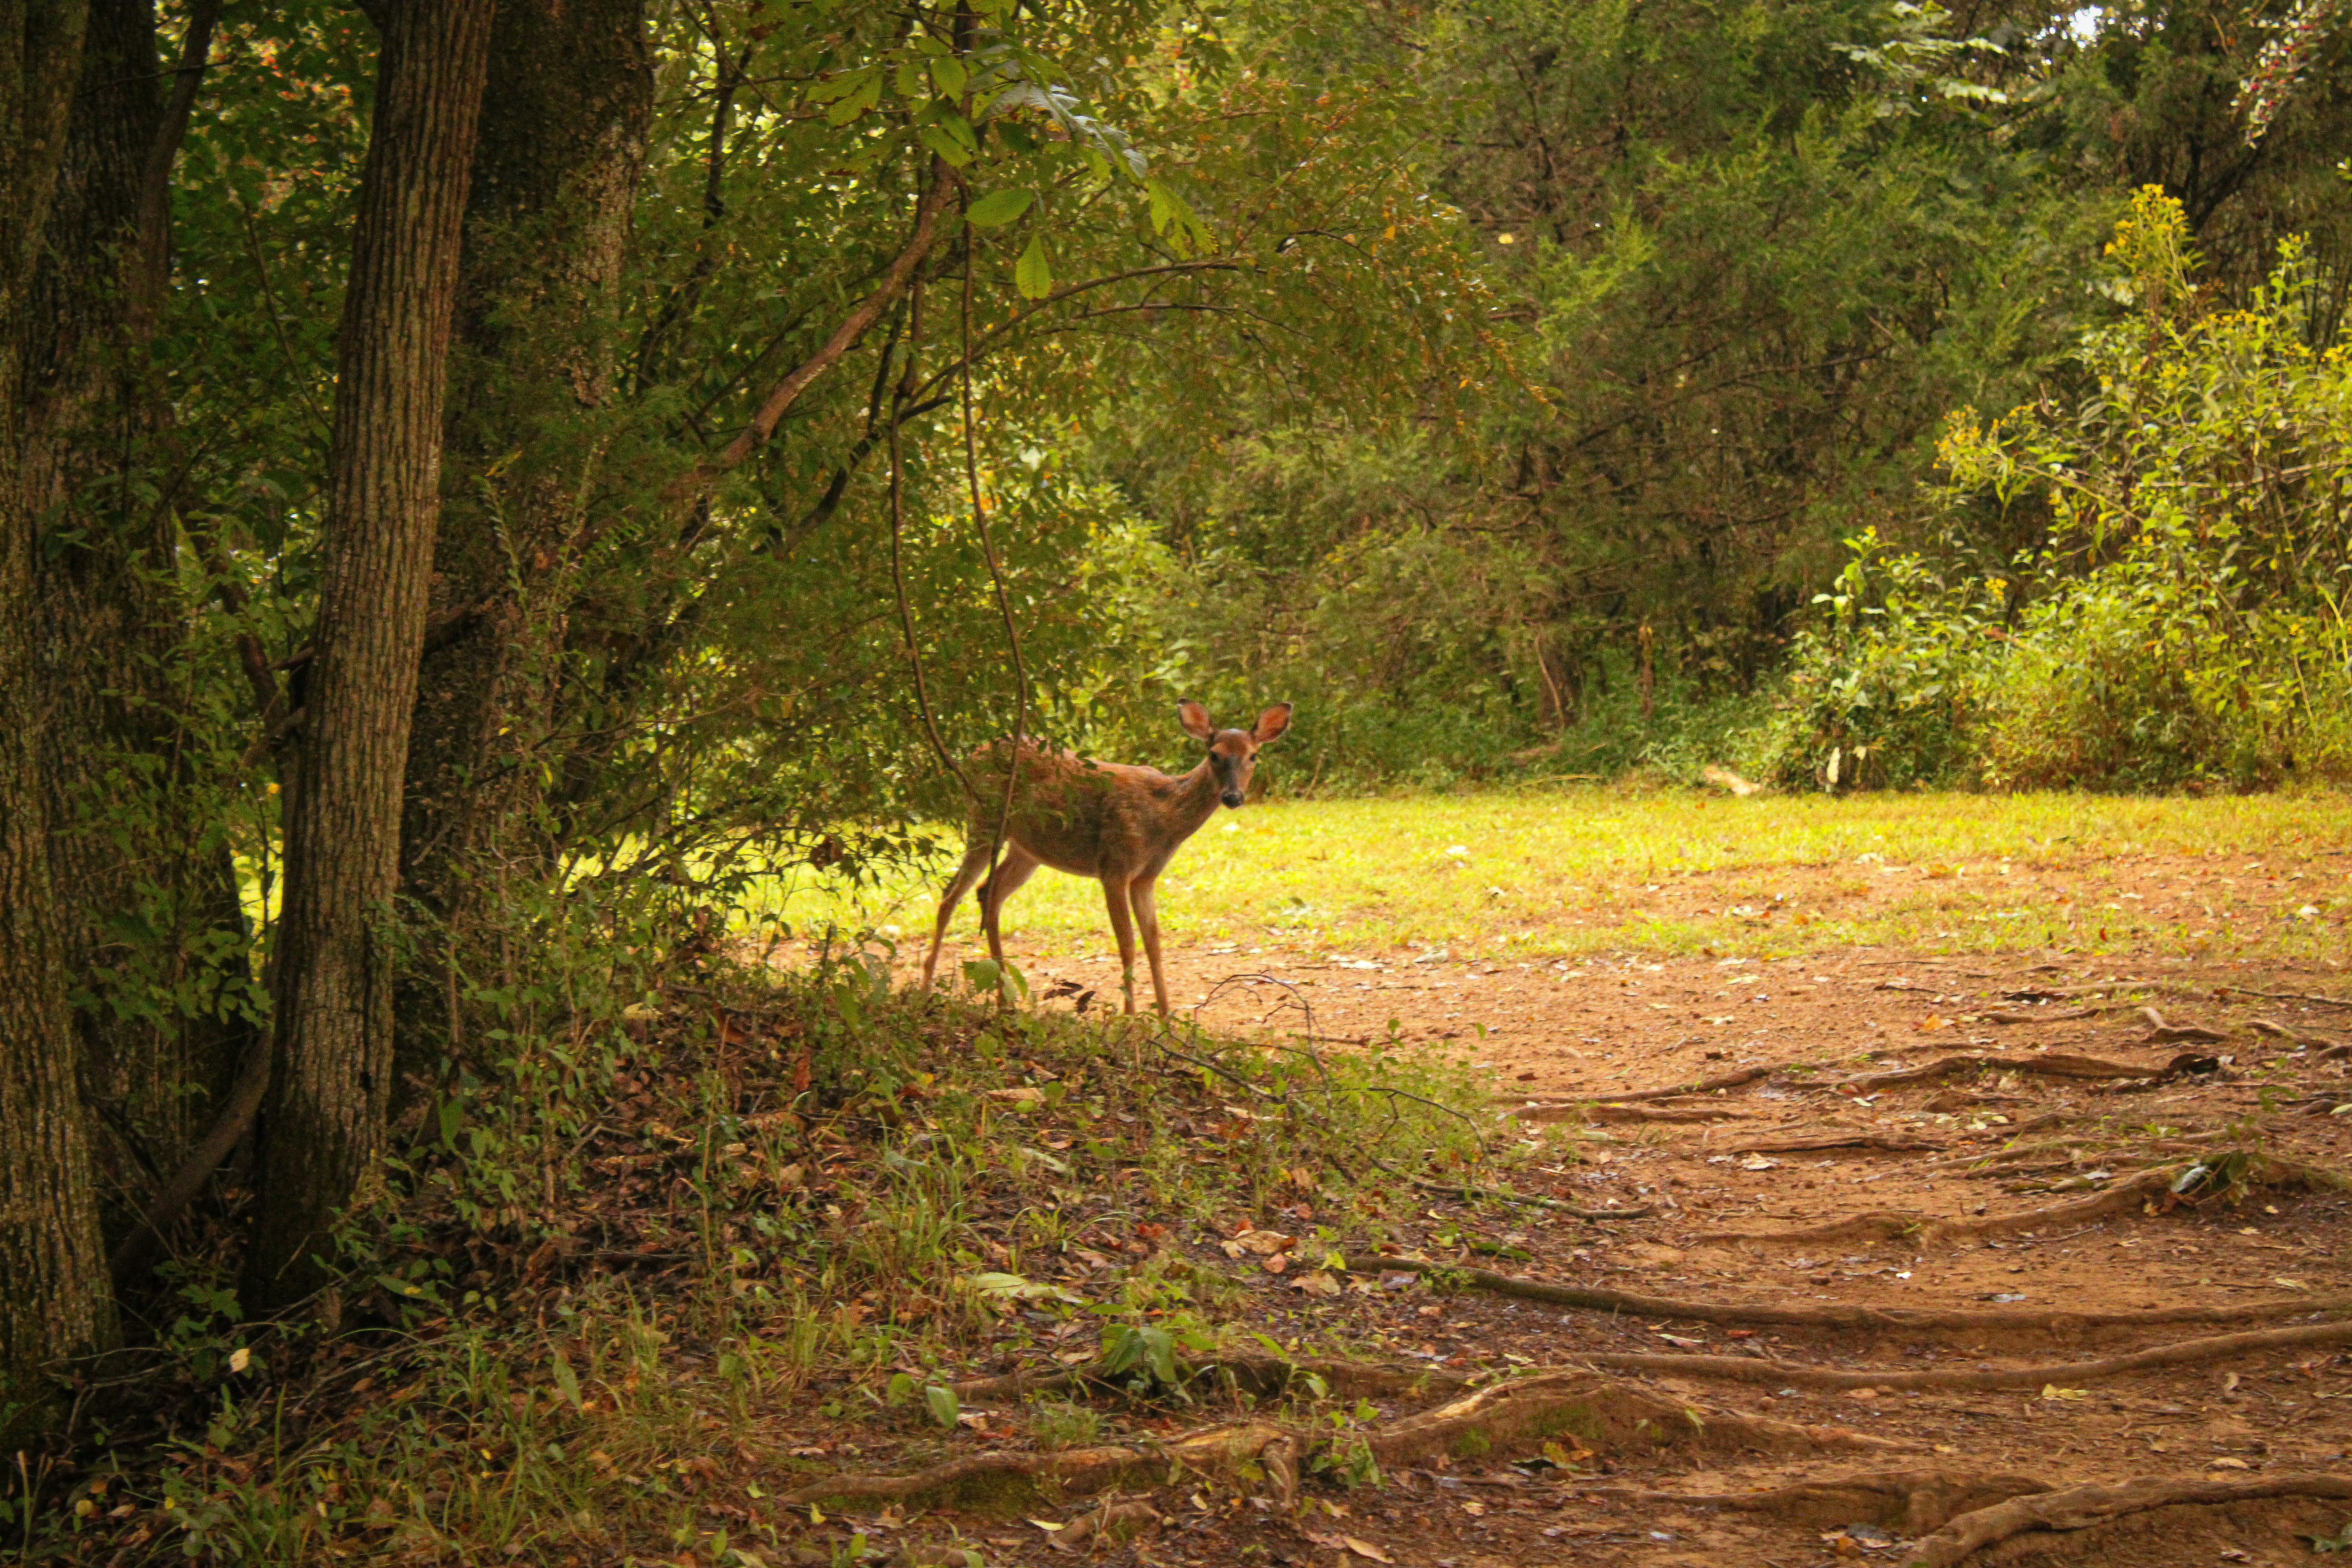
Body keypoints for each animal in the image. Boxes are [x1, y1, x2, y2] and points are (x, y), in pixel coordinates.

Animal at [918, 700, 1293, 1016]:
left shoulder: (1146, 877)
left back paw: (1003, 1000)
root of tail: (973, 755)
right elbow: (1127, 942)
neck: (1164, 818)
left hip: (1028, 849)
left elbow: (1154, 942)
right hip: (983, 819)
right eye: (1214, 754)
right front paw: (1130, 1020)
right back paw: (926, 989)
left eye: (1254, 756)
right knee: (950, 895)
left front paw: (1167, 1020)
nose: (1233, 797)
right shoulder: (1114, 866)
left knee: (988, 892)